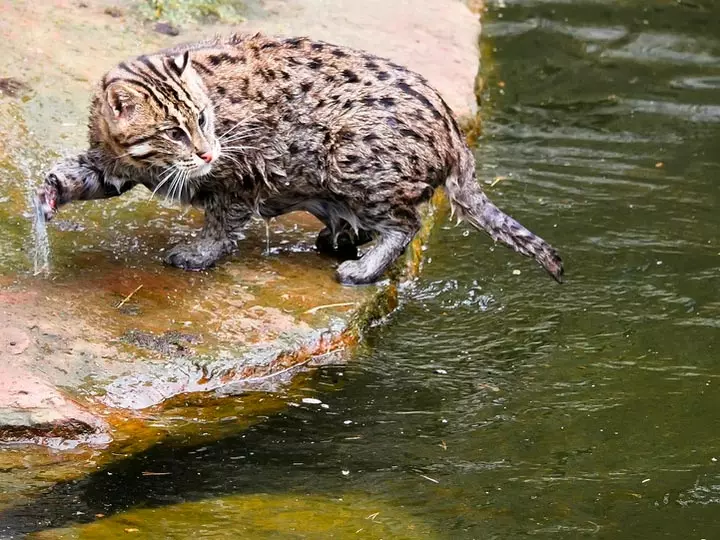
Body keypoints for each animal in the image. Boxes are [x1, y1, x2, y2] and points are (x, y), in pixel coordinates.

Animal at [35, 32, 564, 286]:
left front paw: (201, 253)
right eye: (173, 132)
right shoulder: (113, 164)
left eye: (203, 119)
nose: (207, 151)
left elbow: (222, 220)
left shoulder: (240, 170)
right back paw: (344, 237)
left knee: (407, 222)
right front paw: (49, 193)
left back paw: (363, 265)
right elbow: (81, 176)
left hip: (350, 156)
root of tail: (454, 134)